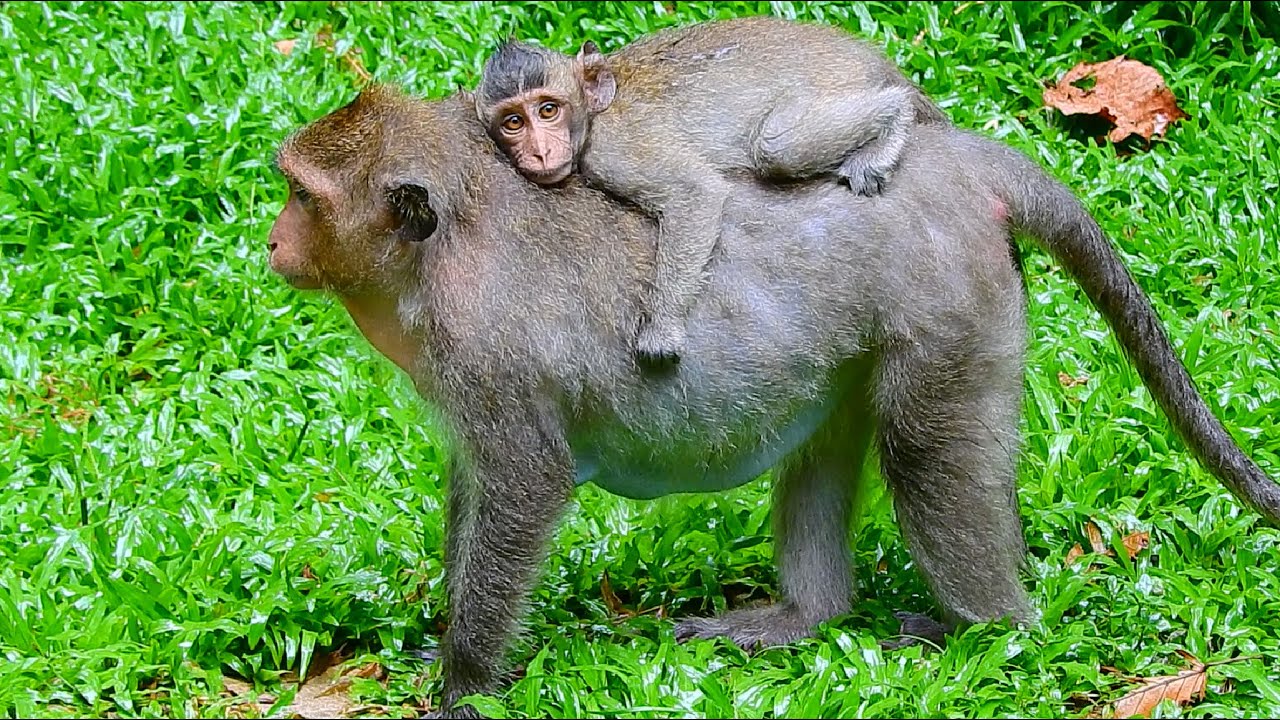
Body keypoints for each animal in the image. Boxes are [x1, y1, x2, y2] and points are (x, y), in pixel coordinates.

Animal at [472, 16, 949, 367]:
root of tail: (876, 60)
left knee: (776, 146)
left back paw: (893, 116)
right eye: (513, 122)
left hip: (834, 83)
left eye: (548, 110)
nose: (539, 151)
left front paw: (661, 328)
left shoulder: (616, 149)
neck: (593, 113)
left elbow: (693, 192)